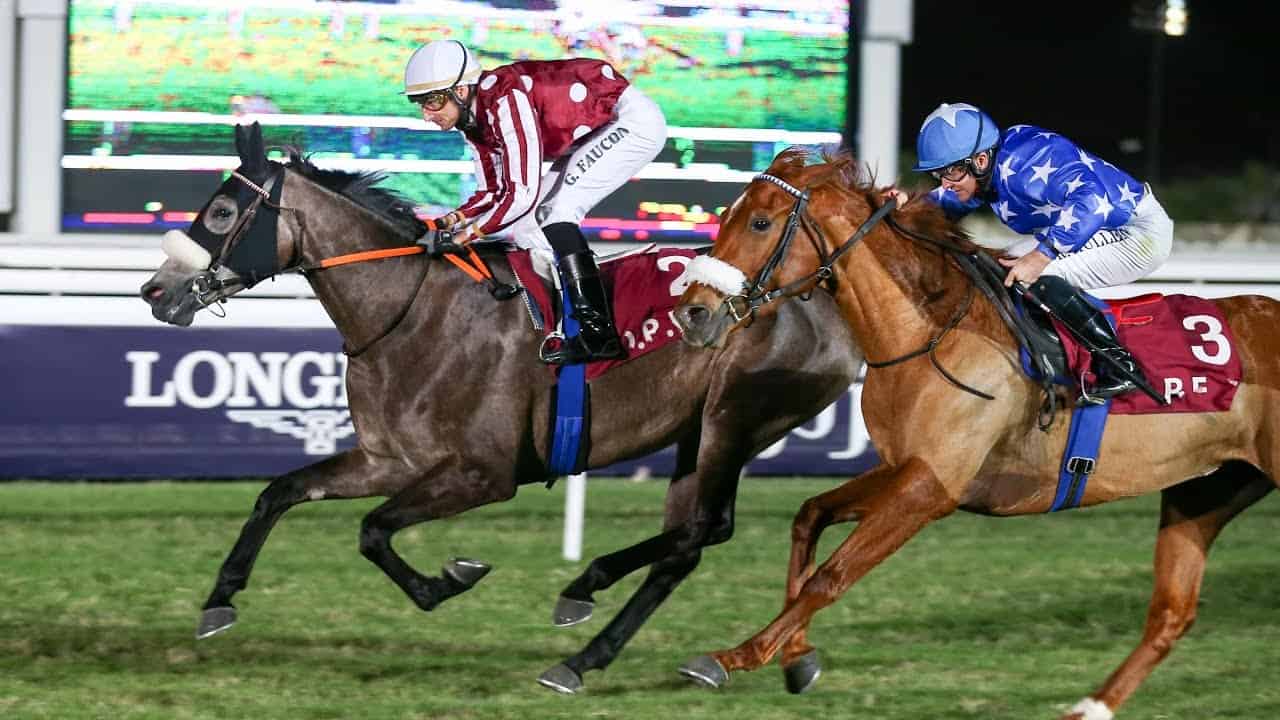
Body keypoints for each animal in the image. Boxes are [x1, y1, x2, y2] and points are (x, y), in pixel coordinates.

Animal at [138, 124, 862, 693]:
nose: (154, 291)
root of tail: (820, 296)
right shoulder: (386, 458)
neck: (413, 311)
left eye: (223, 212)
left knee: (696, 536)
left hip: (733, 423)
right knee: (693, 537)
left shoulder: (484, 474)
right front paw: (219, 600)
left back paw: (585, 621)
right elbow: (280, 493)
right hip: (699, 432)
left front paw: (450, 578)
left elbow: (373, 530)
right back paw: (589, 625)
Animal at [672, 148, 1280, 718]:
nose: (694, 314)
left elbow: (833, 574)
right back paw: (1091, 706)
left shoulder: (930, 489)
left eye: (760, 223)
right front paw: (796, 656)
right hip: (1205, 492)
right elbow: (810, 515)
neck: (928, 333)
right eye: (726, 216)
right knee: (1171, 614)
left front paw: (733, 657)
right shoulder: (907, 467)